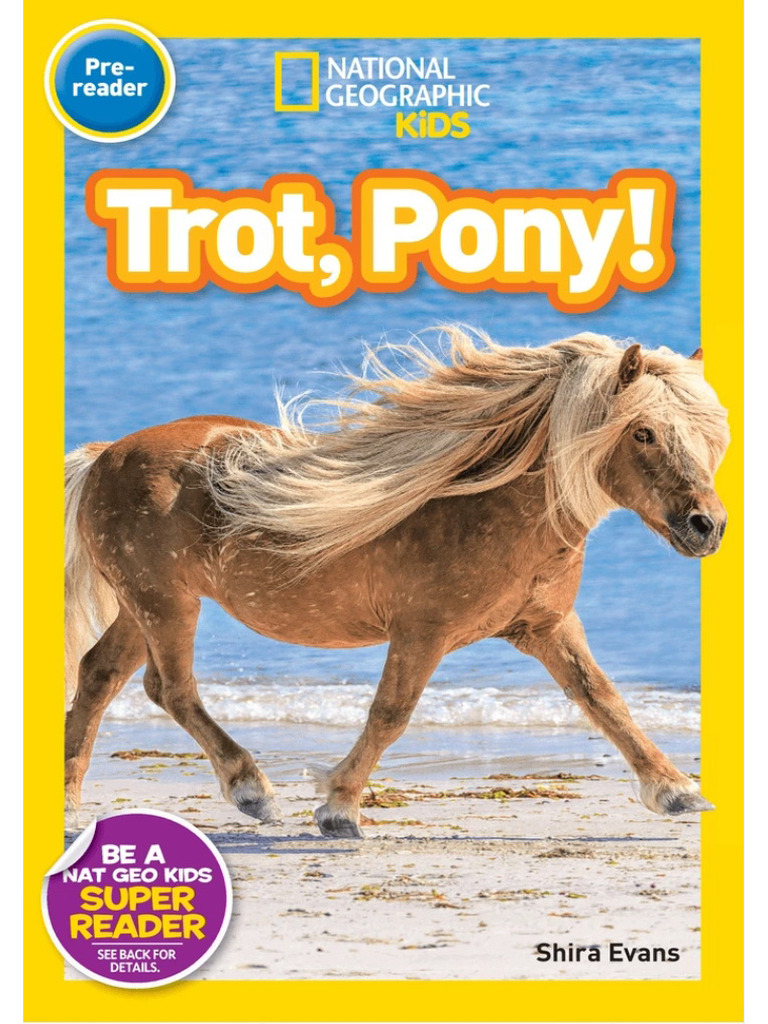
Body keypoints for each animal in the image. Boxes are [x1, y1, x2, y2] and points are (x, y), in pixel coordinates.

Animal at [64, 328, 729, 838]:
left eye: (709, 435)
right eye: (642, 432)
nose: (708, 526)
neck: (486, 505)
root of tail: (106, 454)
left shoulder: (546, 627)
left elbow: (605, 699)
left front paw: (675, 791)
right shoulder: (422, 632)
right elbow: (391, 713)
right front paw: (338, 809)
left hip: (144, 606)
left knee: (100, 674)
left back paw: (70, 803)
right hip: (165, 603)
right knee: (170, 689)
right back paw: (253, 791)